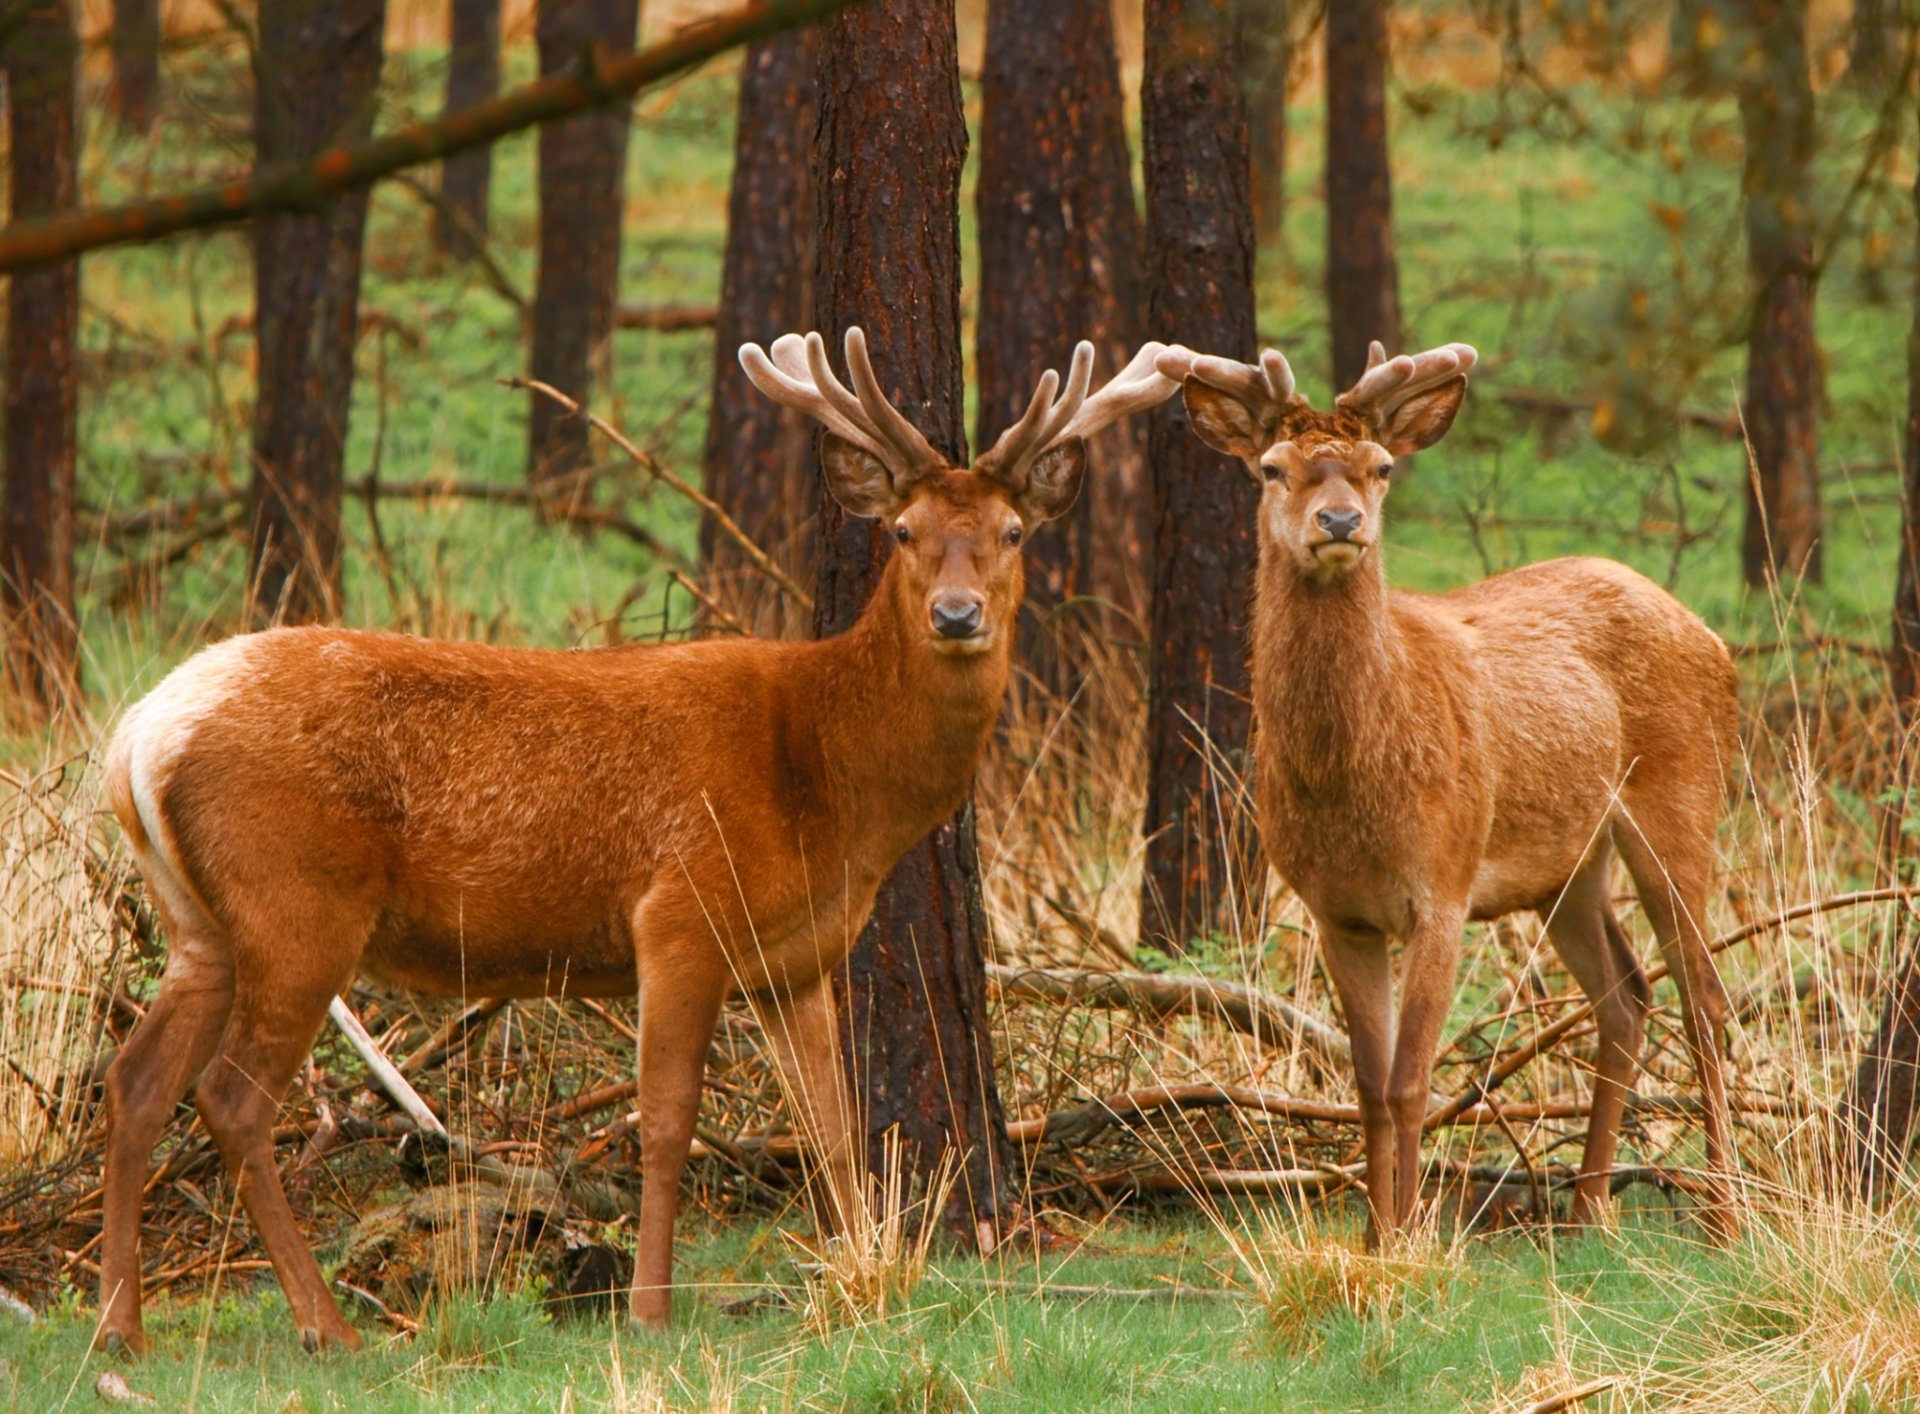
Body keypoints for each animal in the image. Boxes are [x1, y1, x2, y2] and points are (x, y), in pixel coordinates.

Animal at [92, 327, 1183, 1356]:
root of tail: (138, 733)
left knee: (137, 1082)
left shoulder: (797, 959)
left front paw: (866, 1281)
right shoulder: (680, 913)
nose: (957, 614)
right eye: (905, 531)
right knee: (231, 1099)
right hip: (299, 902)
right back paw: (326, 1326)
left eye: (1011, 531)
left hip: (201, 924)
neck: (825, 783)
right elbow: (665, 1123)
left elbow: (833, 1129)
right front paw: (652, 1310)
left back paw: (121, 1327)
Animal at [1156, 339, 1740, 1244]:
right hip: (1567, 866)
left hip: (1682, 798)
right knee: (1626, 993)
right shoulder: (1334, 909)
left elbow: (1410, 1080)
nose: (1340, 523)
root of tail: (1712, 637)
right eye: (1271, 468)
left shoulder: (1444, 881)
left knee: (1705, 995)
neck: (1349, 784)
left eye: (1382, 467)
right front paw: (1372, 1236)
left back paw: (1722, 1217)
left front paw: (1405, 1239)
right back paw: (1585, 1209)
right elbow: (1367, 1085)